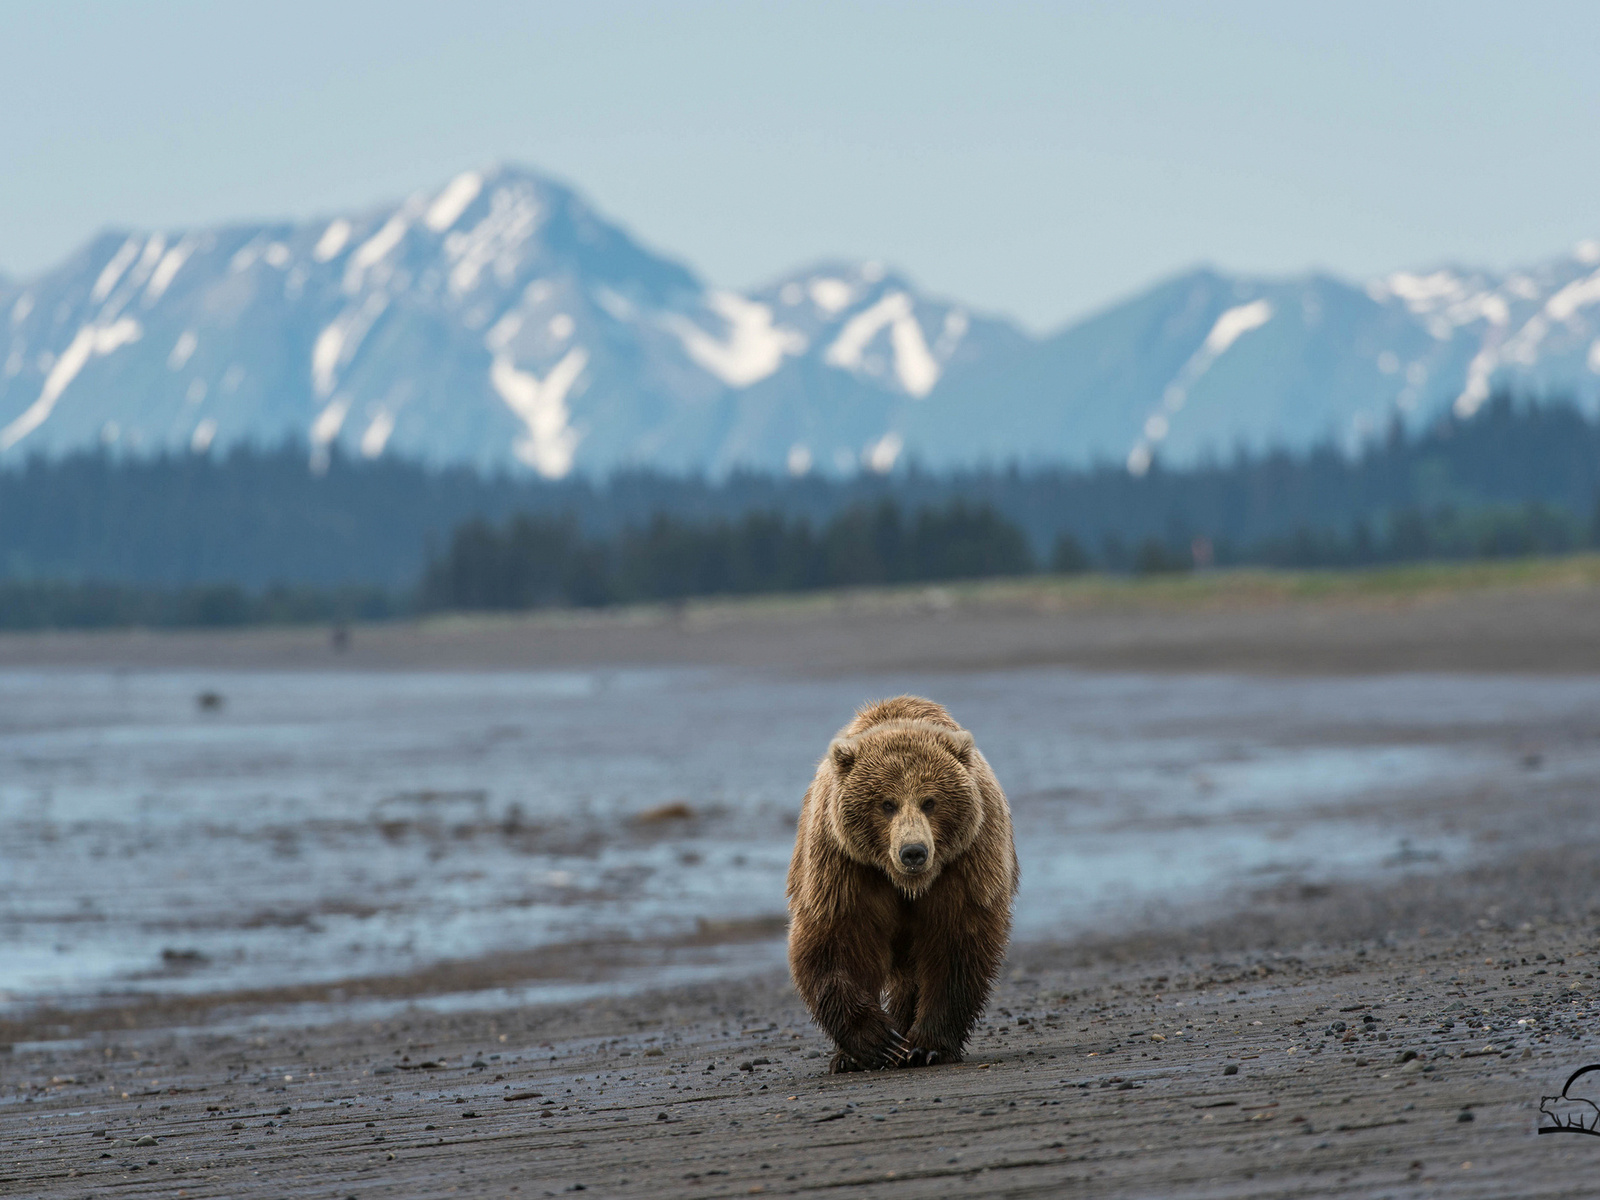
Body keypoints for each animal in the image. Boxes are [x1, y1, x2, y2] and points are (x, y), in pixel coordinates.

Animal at [786, 695, 1018, 1072]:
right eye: (886, 803)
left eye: (930, 801)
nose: (913, 851)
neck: (906, 883)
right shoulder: (844, 866)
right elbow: (835, 940)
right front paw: (878, 1042)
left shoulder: (965, 863)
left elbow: (956, 944)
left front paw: (926, 1046)